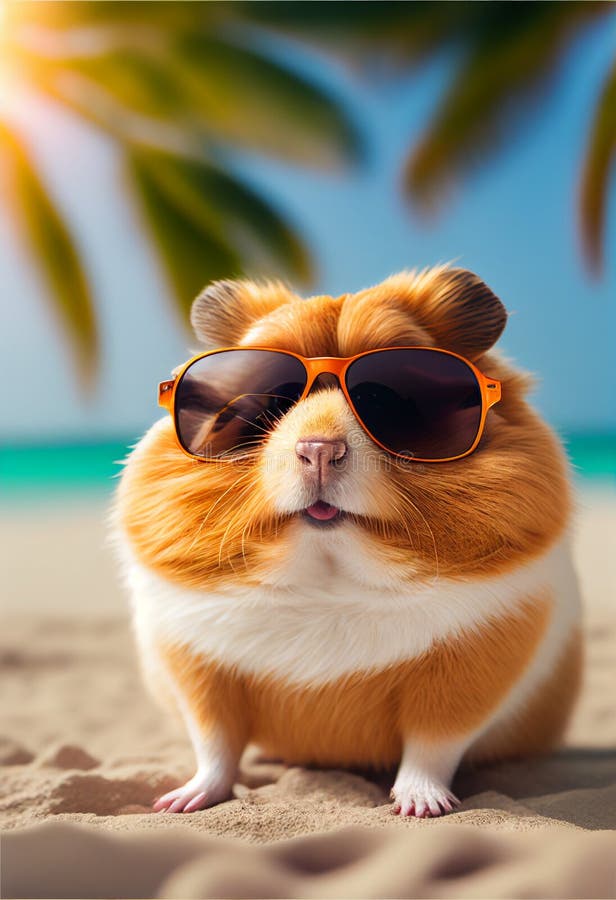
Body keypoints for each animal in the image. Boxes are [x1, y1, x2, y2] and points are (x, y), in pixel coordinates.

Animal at [113, 266, 582, 817]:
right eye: (271, 403)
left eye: (385, 401)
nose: (318, 450)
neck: (328, 569)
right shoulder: (199, 672)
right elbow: (215, 745)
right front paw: (177, 804)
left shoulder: (468, 674)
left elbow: (431, 747)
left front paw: (420, 808)